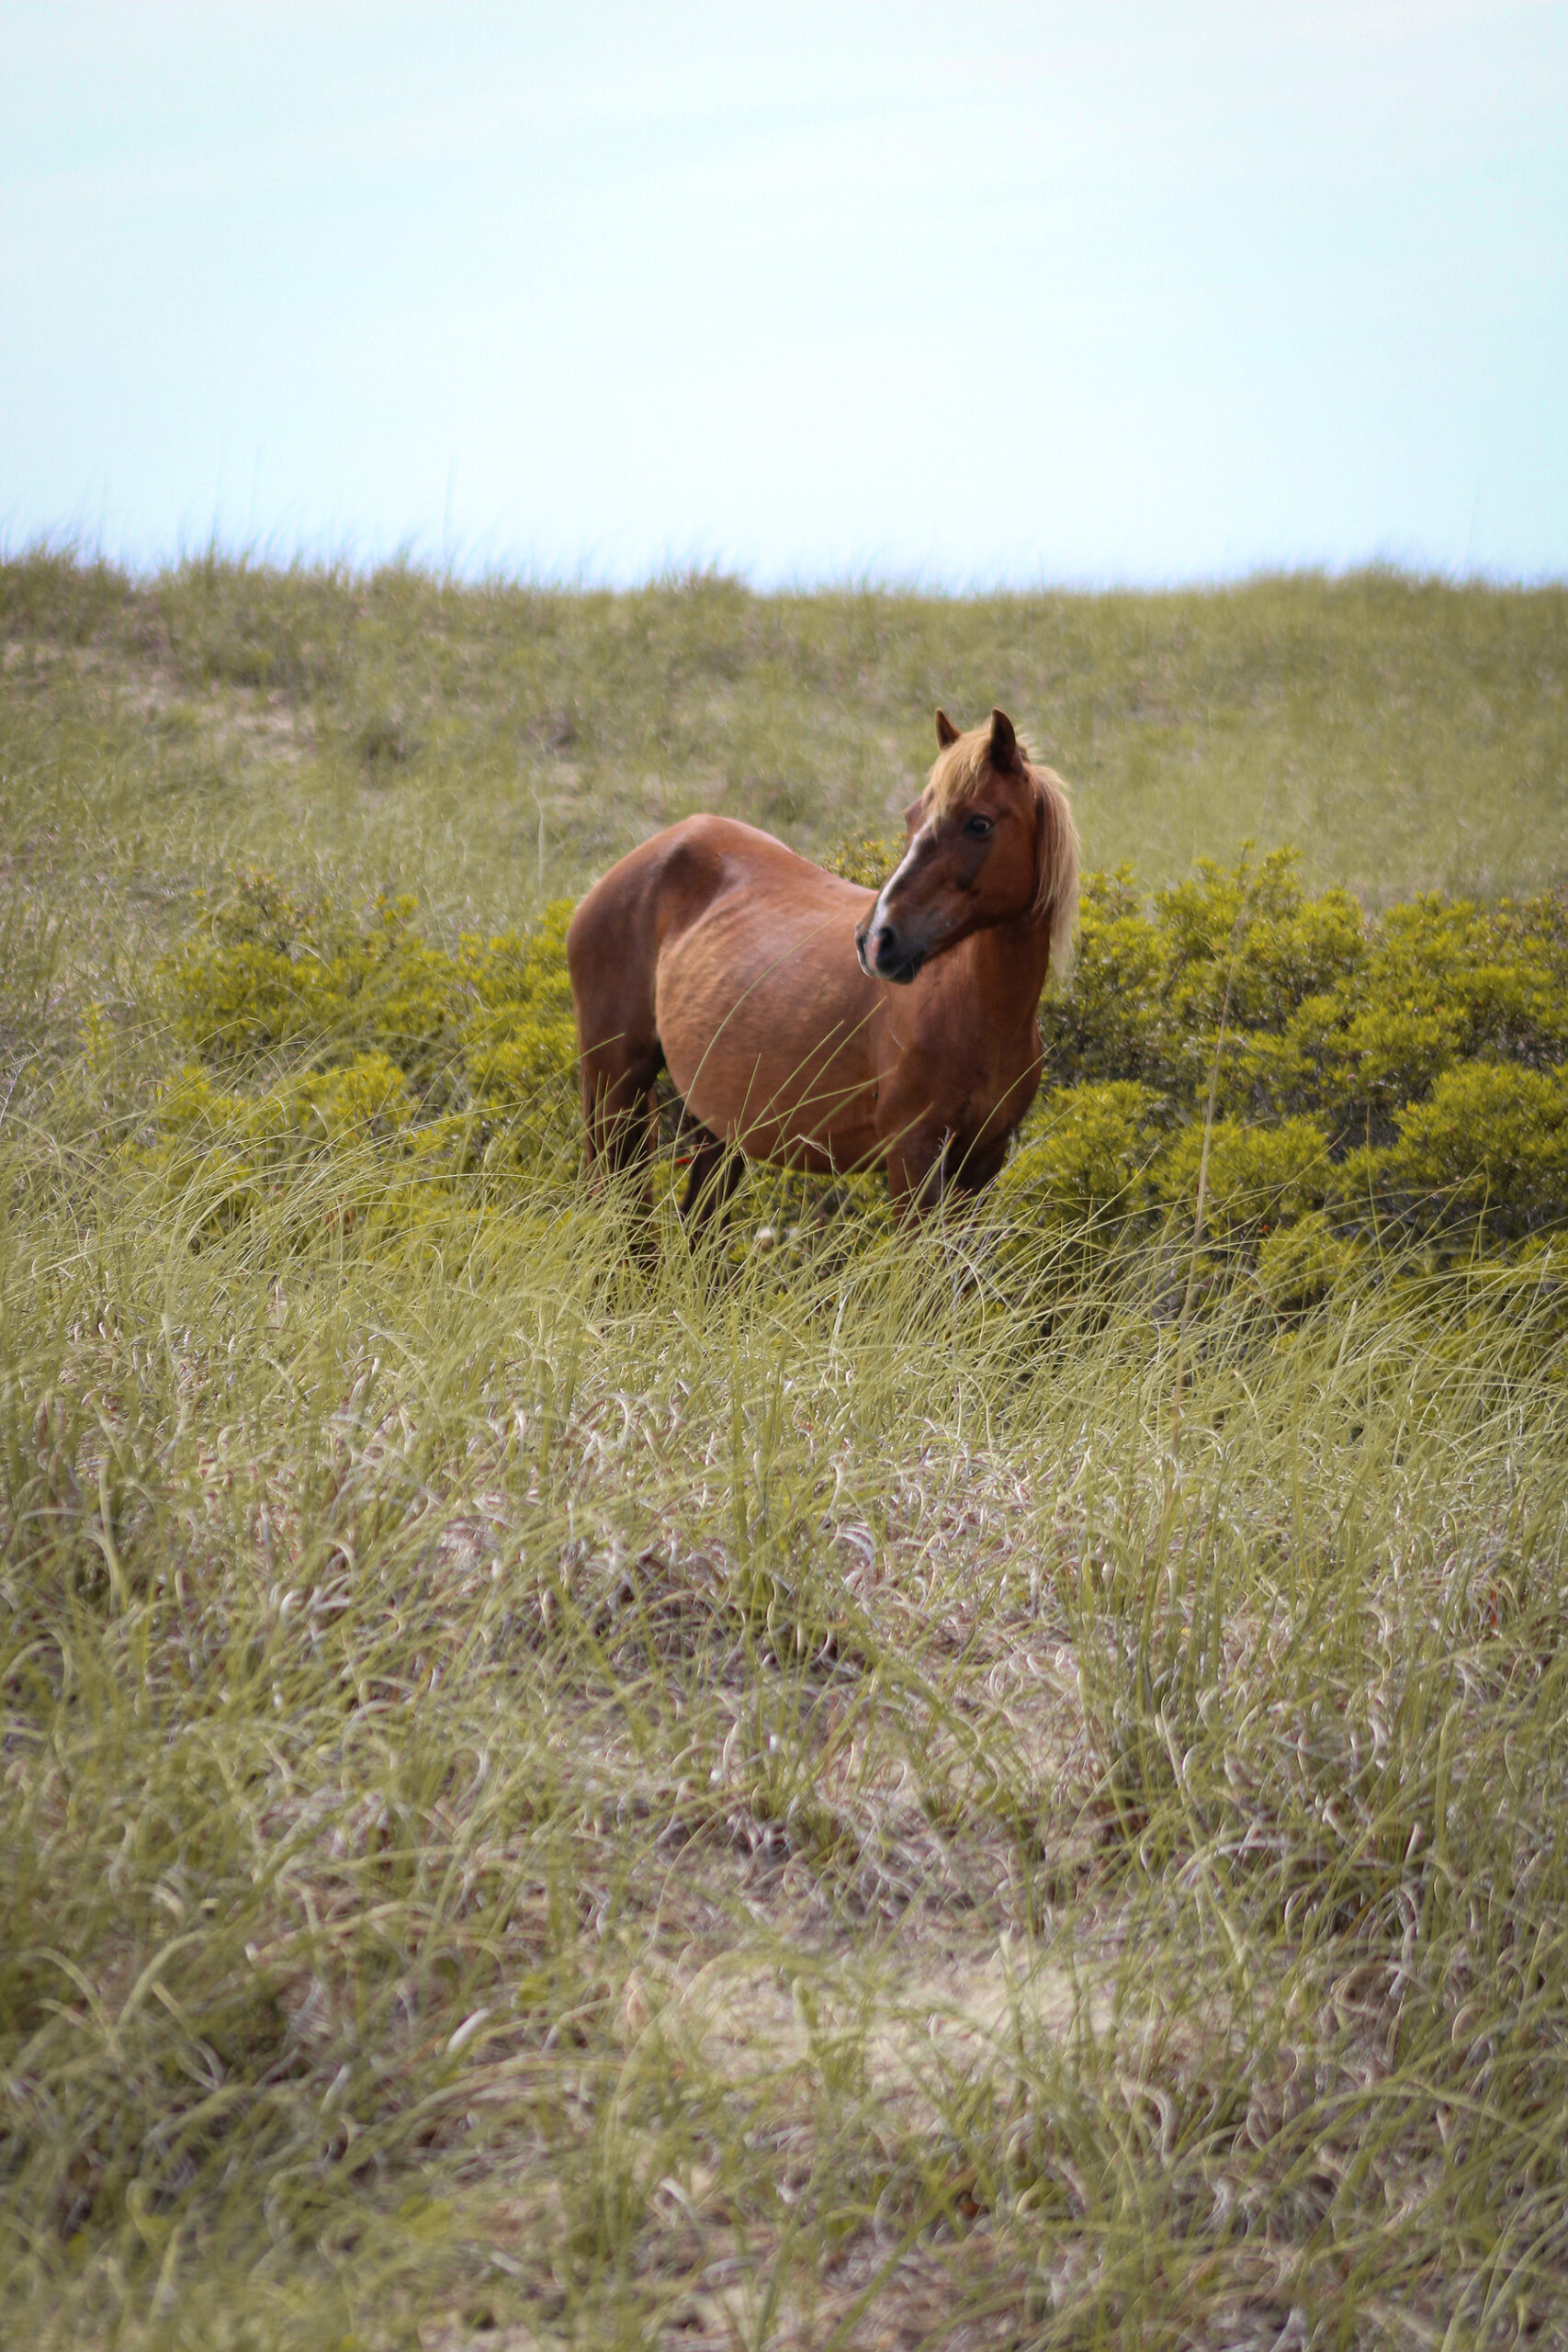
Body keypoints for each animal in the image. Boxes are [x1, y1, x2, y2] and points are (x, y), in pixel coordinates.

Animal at [565, 707, 1079, 1219]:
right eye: (913, 815)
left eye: (979, 823)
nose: (876, 940)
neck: (978, 1011)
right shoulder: (912, 1156)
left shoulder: (982, 1160)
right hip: (616, 1089)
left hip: (716, 1126)